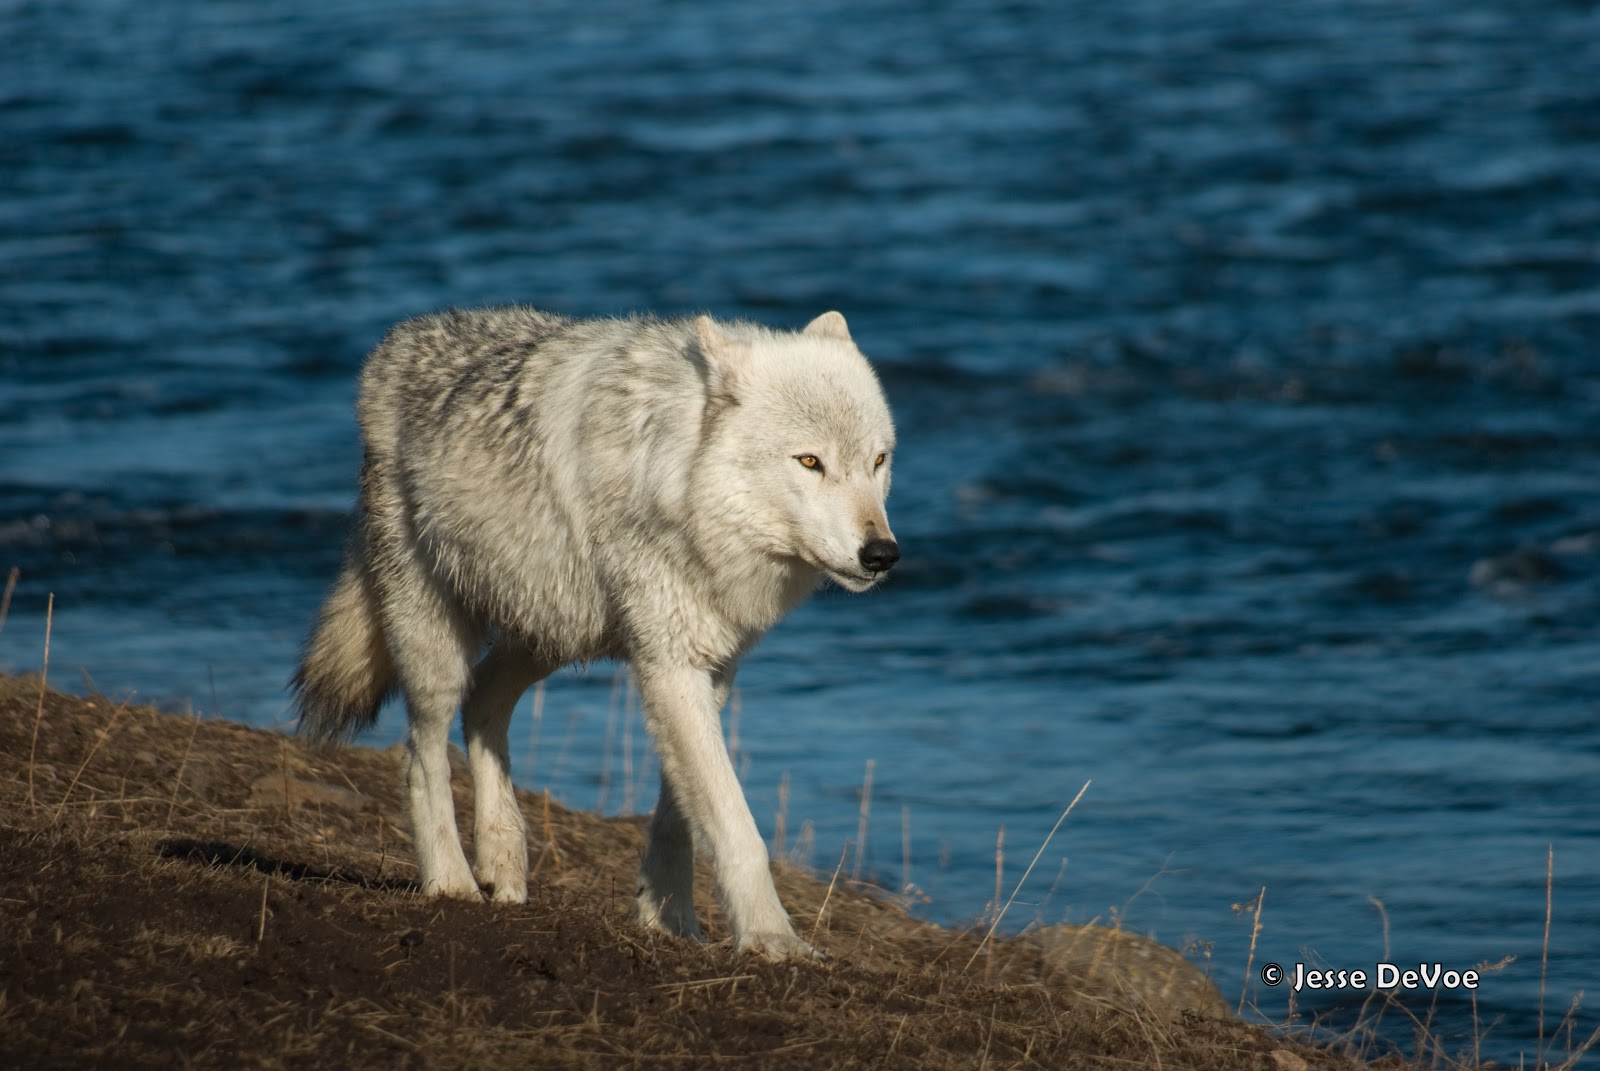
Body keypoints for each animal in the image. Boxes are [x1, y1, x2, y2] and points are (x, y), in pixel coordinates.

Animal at [291, 307, 898, 961]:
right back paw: (451, 880)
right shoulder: (669, 664)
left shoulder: (710, 666)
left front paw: (668, 917)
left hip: (551, 632)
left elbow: (680, 815)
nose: (882, 554)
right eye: (810, 461)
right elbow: (736, 826)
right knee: (422, 752)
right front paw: (771, 936)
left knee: (483, 702)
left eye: (878, 462)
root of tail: (398, 339)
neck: (680, 482)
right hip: (438, 644)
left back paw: (503, 861)